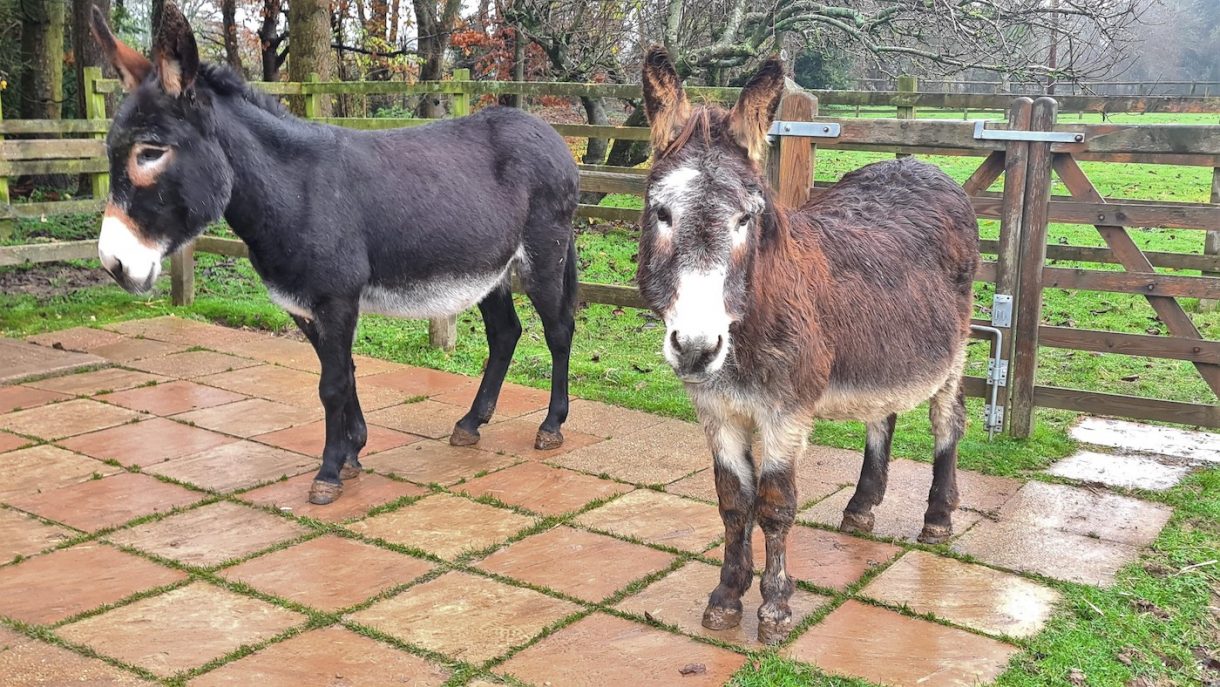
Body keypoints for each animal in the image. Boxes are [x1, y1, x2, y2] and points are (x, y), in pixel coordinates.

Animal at [90, 4, 580, 505]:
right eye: (111, 152)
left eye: (151, 152)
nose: (113, 264)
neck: (294, 191)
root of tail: (548, 132)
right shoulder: (305, 305)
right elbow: (343, 370)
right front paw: (352, 453)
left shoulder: (337, 299)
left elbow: (332, 384)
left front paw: (328, 473)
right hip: (489, 271)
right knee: (505, 333)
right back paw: (470, 423)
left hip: (543, 255)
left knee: (558, 331)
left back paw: (551, 426)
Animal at [636, 48, 979, 644]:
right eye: (661, 213)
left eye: (746, 218)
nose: (697, 349)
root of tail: (921, 164)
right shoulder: (716, 410)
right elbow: (733, 503)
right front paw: (726, 597)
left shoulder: (785, 414)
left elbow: (774, 506)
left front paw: (774, 608)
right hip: (880, 350)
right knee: (882, 414)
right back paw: (861, 508)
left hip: (952, 354)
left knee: (947, 421)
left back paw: (938, 518)